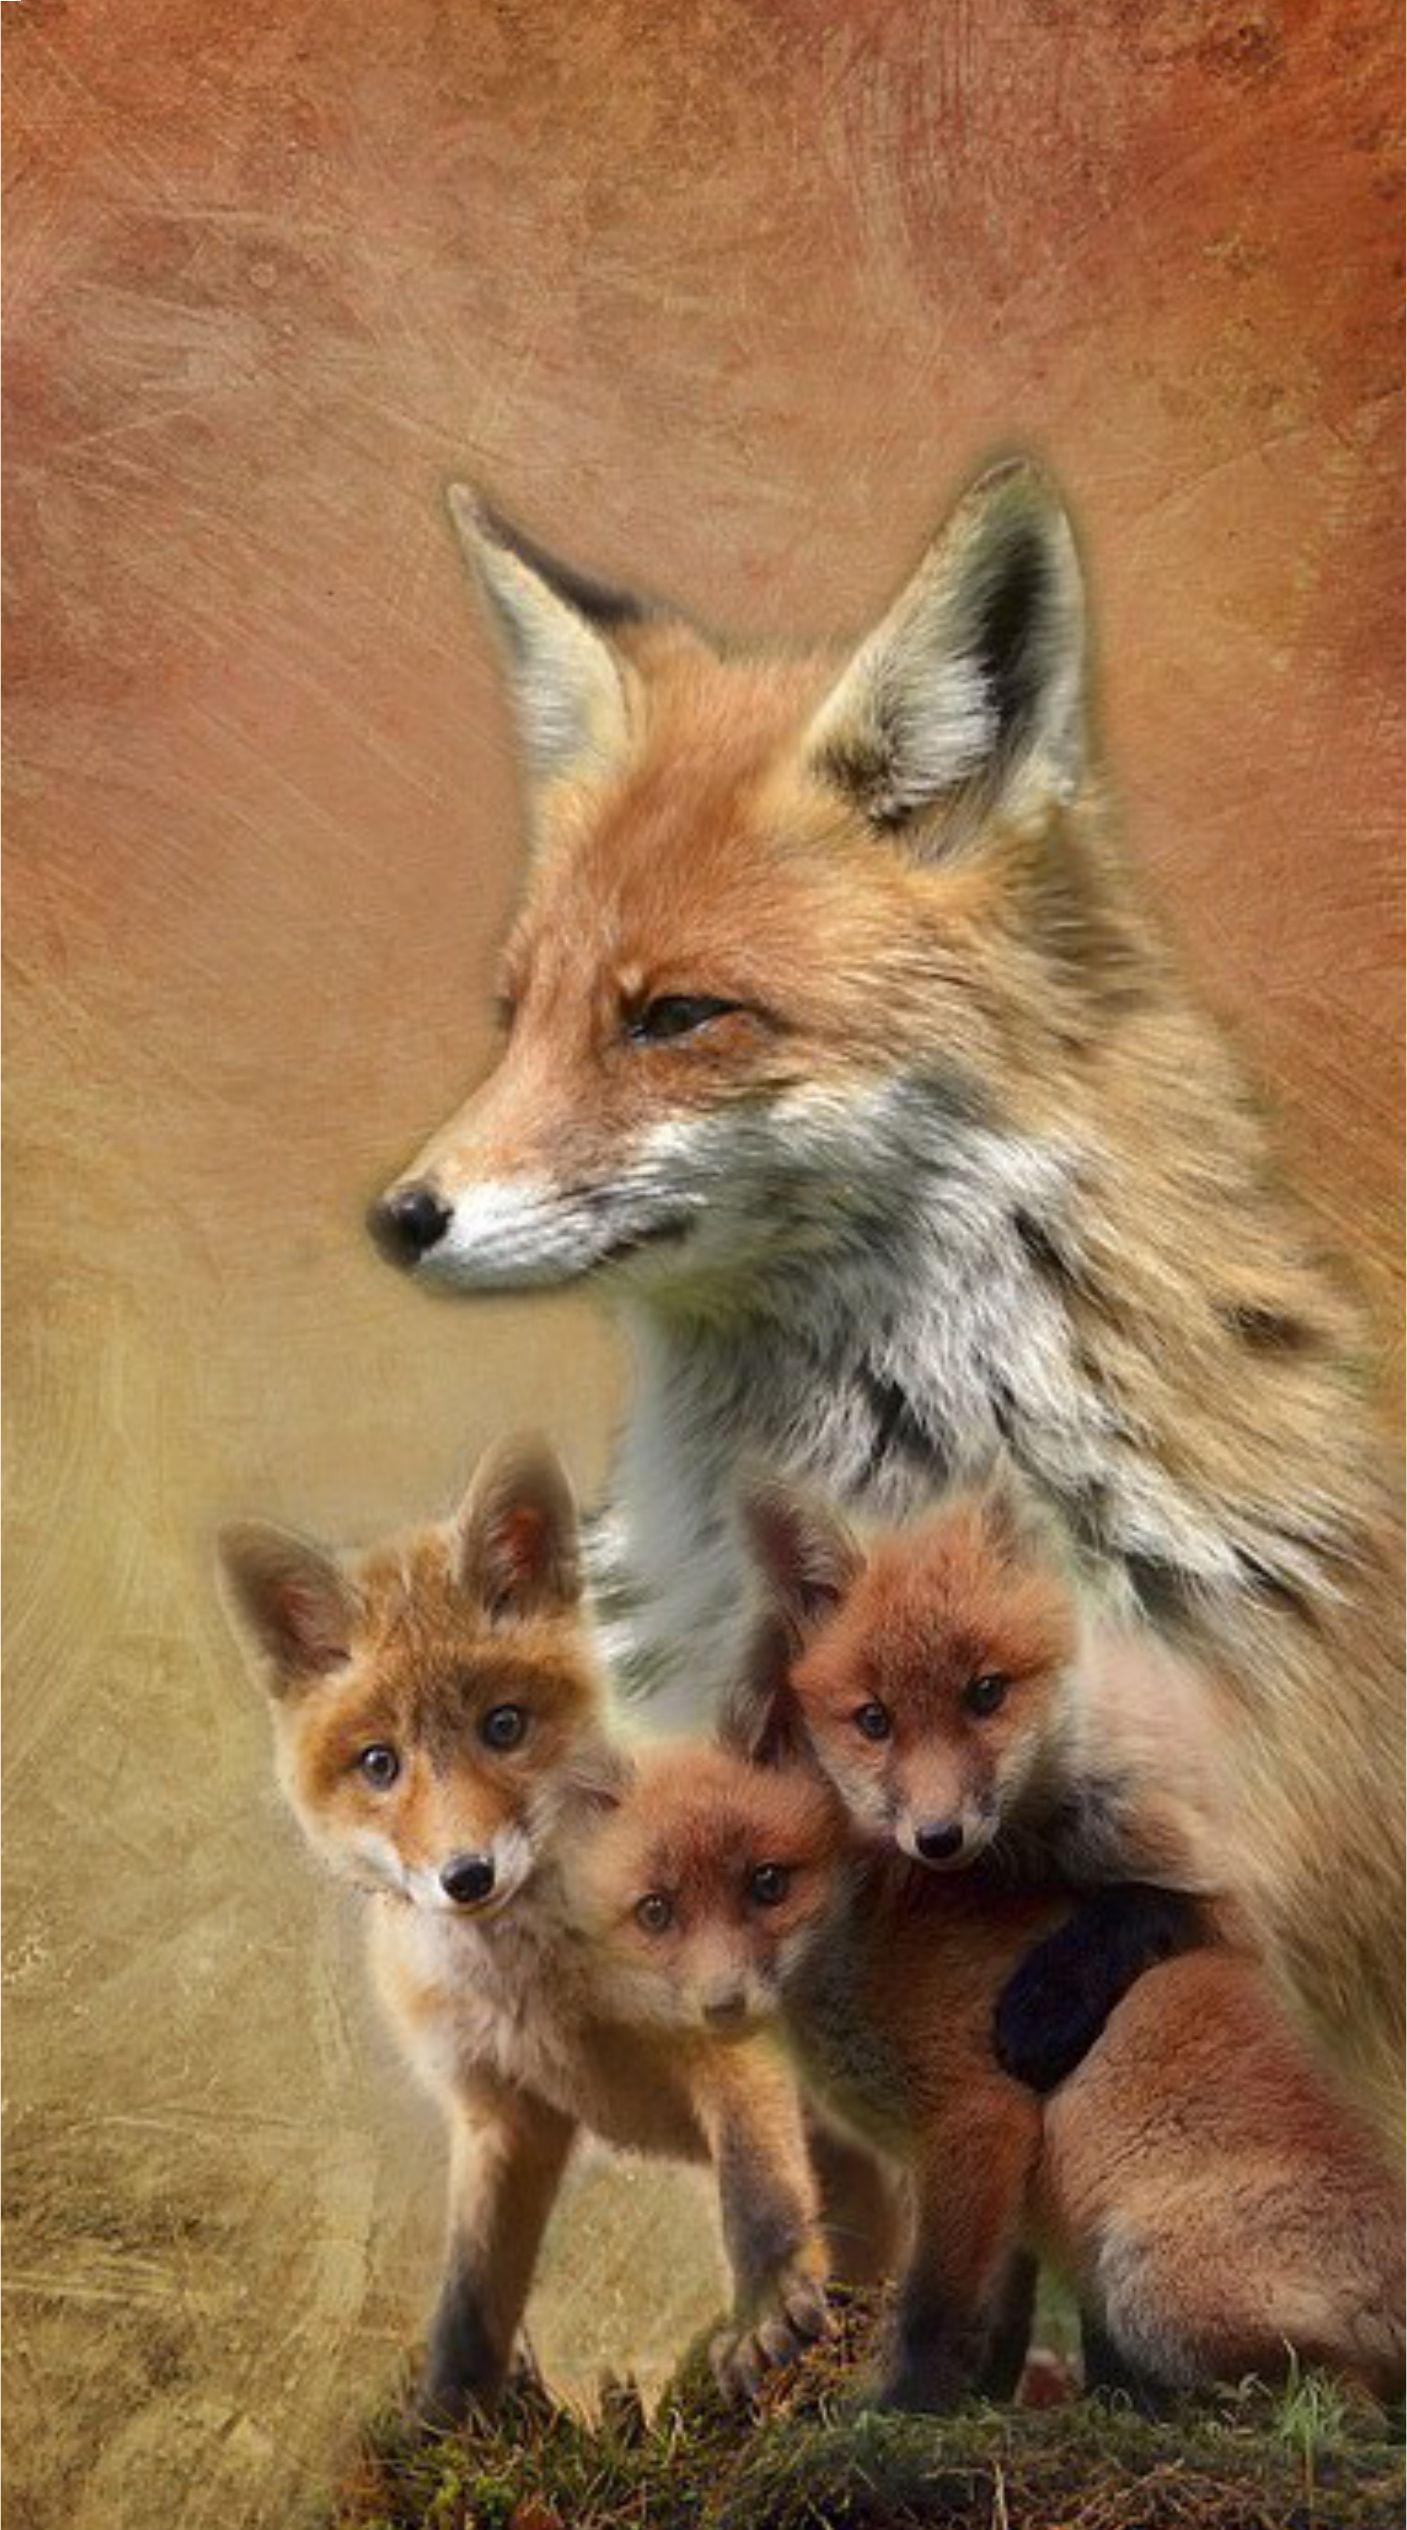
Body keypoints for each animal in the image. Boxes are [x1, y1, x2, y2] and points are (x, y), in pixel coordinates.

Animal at [217, 1435, 830, 2418]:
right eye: (379, 1764)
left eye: (503, 1726)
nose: (466, 1876)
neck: (536, 1993)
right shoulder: (498, 2112)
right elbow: (471, 2286)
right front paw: (447, 2408)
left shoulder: (730, 2028)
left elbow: (758, 2190)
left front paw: (766, 2311)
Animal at [577, 1734, 1404, 2413]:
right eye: (657, 1912)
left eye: (768, 1883)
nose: (719, 2004)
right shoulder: (995, 2177)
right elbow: (996, 2317)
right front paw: (977, 2401)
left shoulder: (976, 2117)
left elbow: (935, 2309)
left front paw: (901, 2413)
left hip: (1143, 2283)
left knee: (1345, 2405)